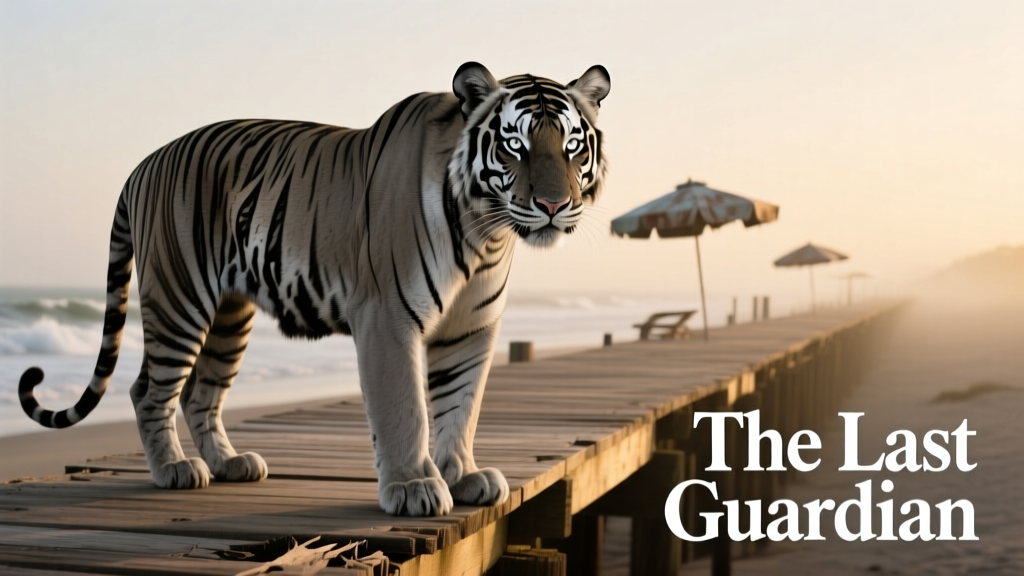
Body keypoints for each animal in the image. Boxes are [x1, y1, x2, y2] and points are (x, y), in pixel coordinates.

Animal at [18, 62, 610, 517]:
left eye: (572, 147)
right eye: (515, 146)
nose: (554, 205)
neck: (485, 232)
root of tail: (143, 163)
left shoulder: (470, 328)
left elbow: (460, 406)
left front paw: (463, 476)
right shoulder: (387, 318)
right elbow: (406, 408)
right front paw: (413, 487)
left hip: (229, 316)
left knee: (198, 392)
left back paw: (230, 464)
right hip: (178, 299)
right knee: (149, 389)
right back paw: (176, 469)